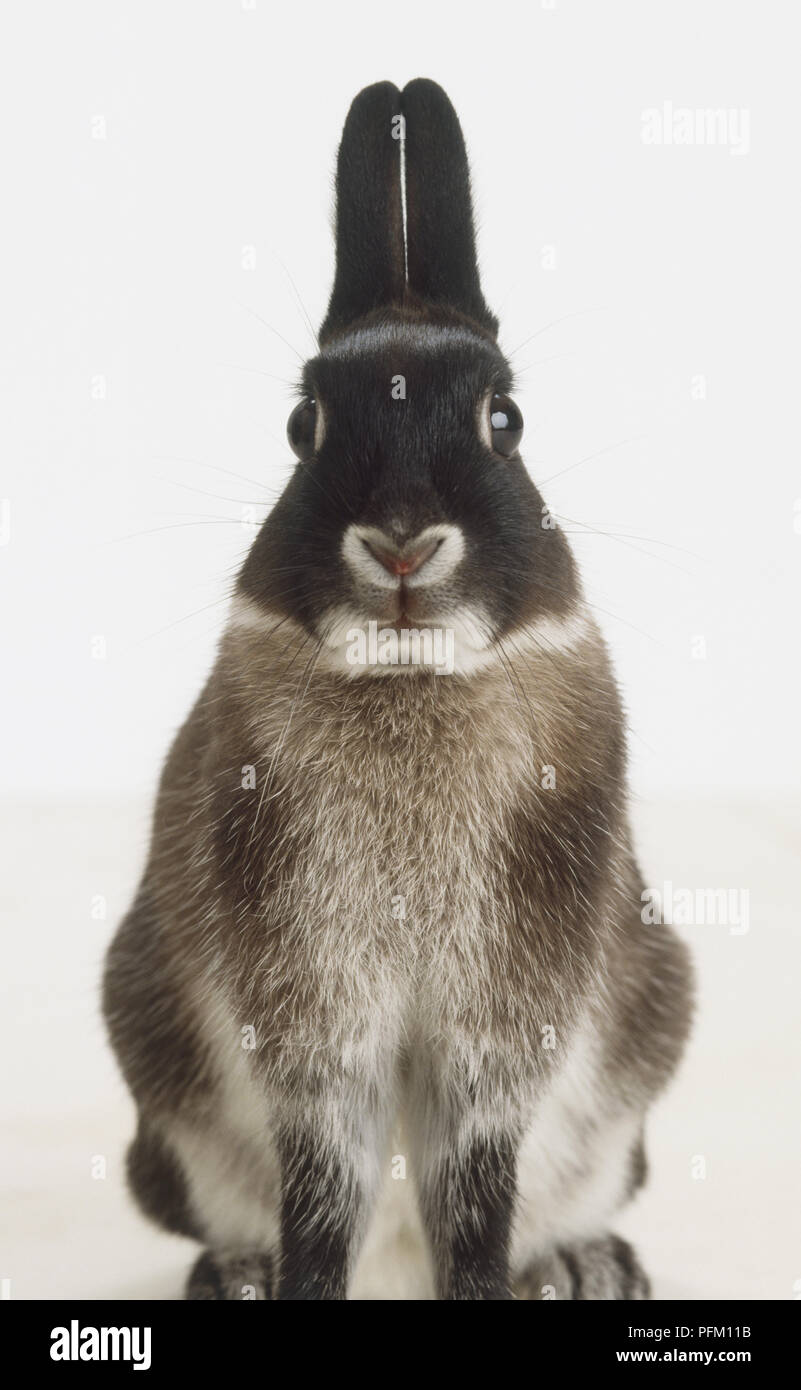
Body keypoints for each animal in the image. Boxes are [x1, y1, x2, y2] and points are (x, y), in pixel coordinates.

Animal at [103, 78, 693, 1301]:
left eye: (504, 420)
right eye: (304, 425)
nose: (405, 543)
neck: (412, 676)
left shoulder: (496, 1044)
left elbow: (475, 1197)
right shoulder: (316, 1034)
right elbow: (323, 1197)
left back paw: (583, 1268)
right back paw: (235, 1277)